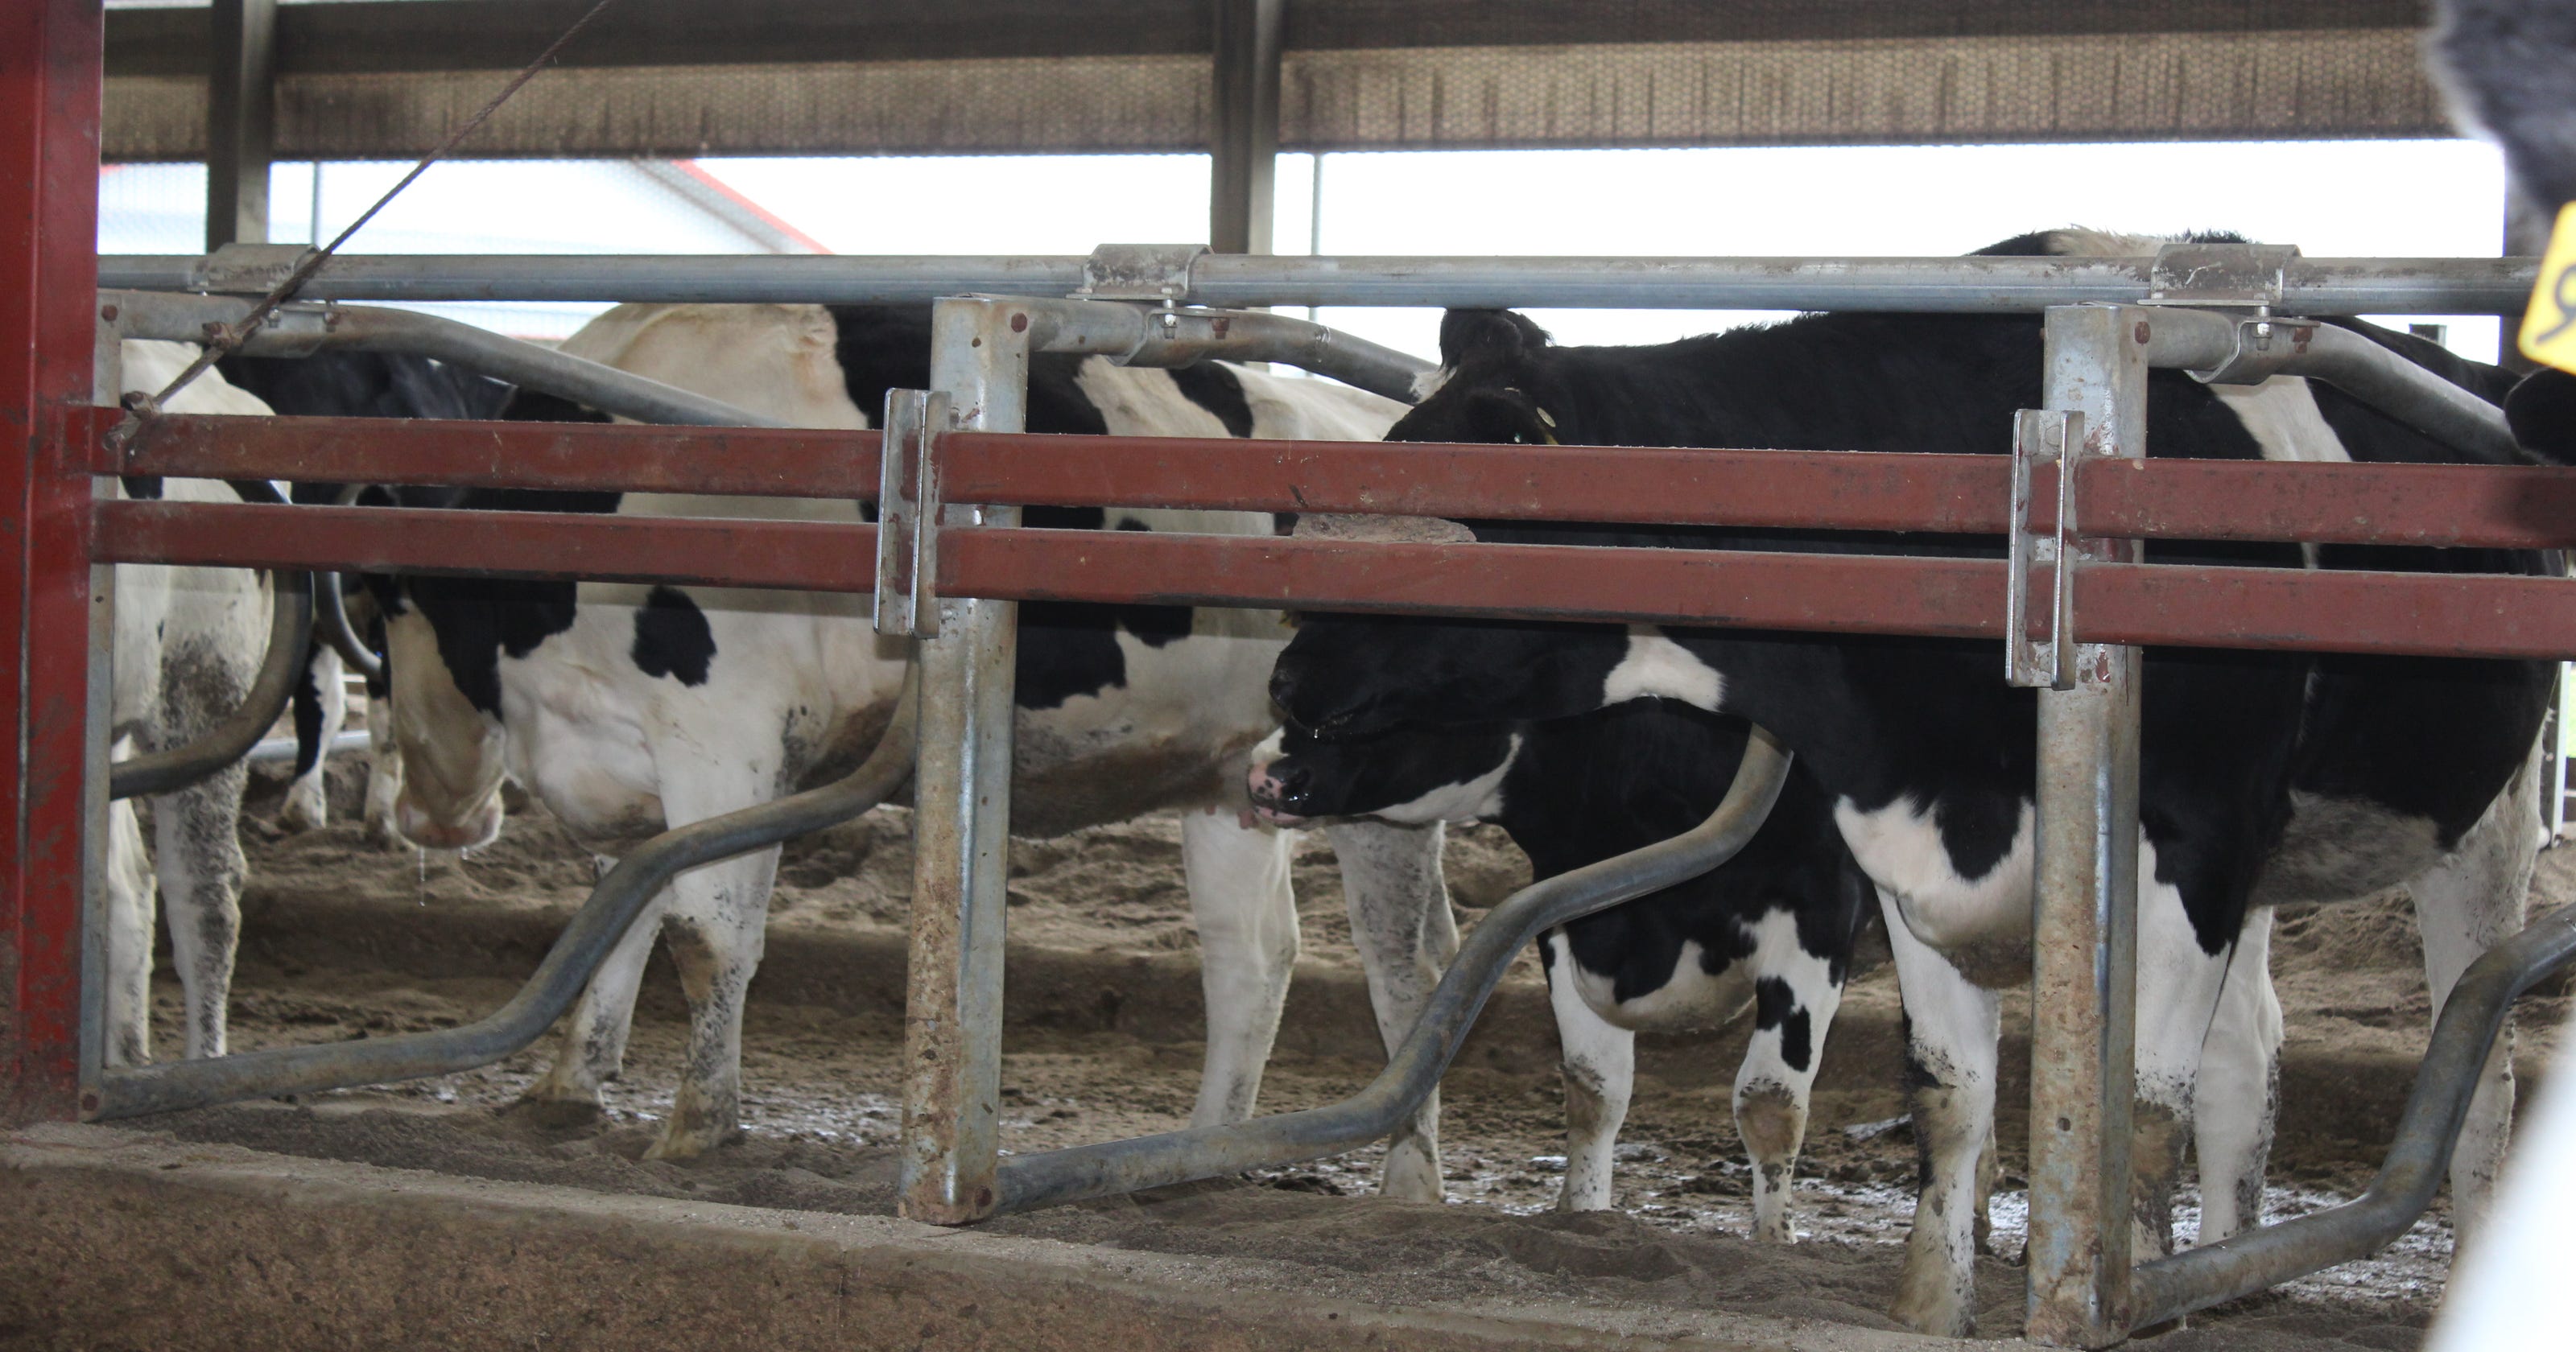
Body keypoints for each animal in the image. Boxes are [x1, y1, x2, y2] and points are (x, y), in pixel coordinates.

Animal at [362, 303, 1466, 1170]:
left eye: (386, 604)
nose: (428, 816)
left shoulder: (725, 735)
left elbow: (705, 936)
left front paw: (697, 1123)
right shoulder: (624, 760)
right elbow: (619, 917)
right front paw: (567, 1087)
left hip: (1368, 786)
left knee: (1404, 970)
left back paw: (1406, 1182)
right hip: (1230, 779)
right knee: (1256, 958)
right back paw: (1205, 1147)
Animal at [1244, 698, 1872, 1241]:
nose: (1263, 774)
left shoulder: (1817, 916)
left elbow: (1769, 1102)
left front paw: (1773, 1240)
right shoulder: (1564, 915)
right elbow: (1594, 1091)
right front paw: (1583, 1212)